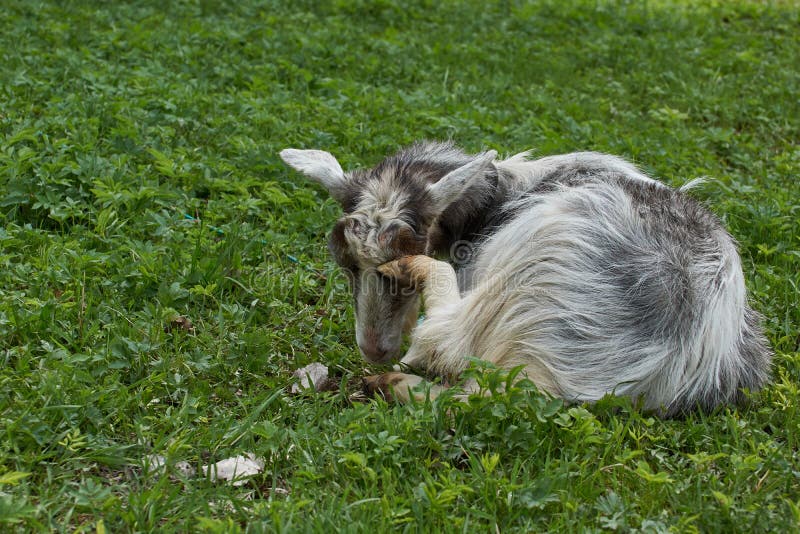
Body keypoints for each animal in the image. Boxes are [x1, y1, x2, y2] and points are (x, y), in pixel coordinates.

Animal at [280, 142, 771, 416]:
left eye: (388, 271)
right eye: (345, 265)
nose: (374, 350)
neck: (502, 191)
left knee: (448, 347)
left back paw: (390, 381)